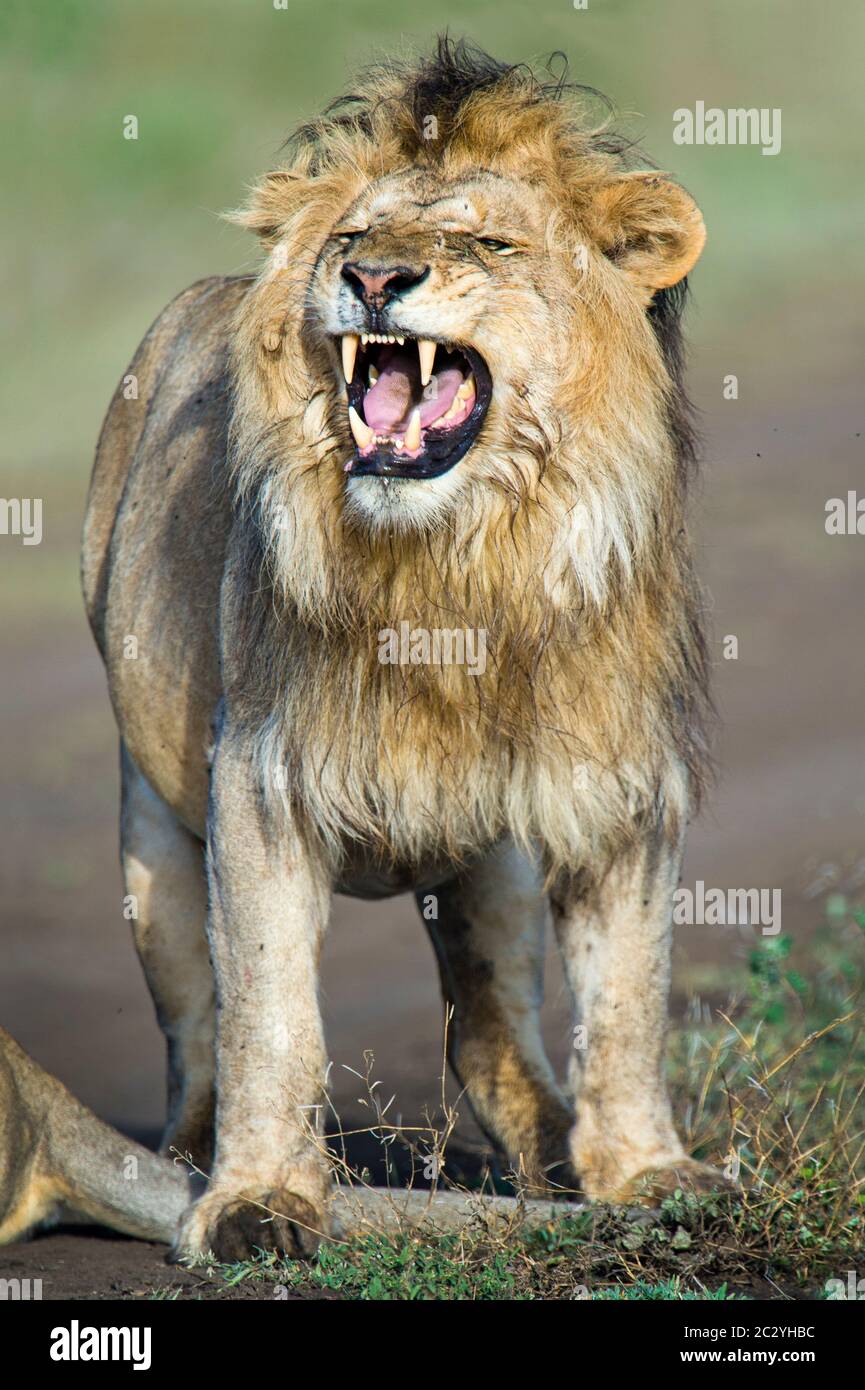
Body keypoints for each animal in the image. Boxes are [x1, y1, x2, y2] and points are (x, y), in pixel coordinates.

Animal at [81, 37, 719, 1262]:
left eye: (489, 244)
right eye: (350, 239)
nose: (376, 280)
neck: (452, 566)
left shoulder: (620, 786)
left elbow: (627, 1002)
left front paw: (648, 1177)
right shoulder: (258, 779)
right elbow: (268, 1015)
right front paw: (256, 1202)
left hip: (491, 867)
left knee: (490, 1029)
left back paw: (553, 1157)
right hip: (152, 822)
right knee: (194, 1026)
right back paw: (182, 1160)